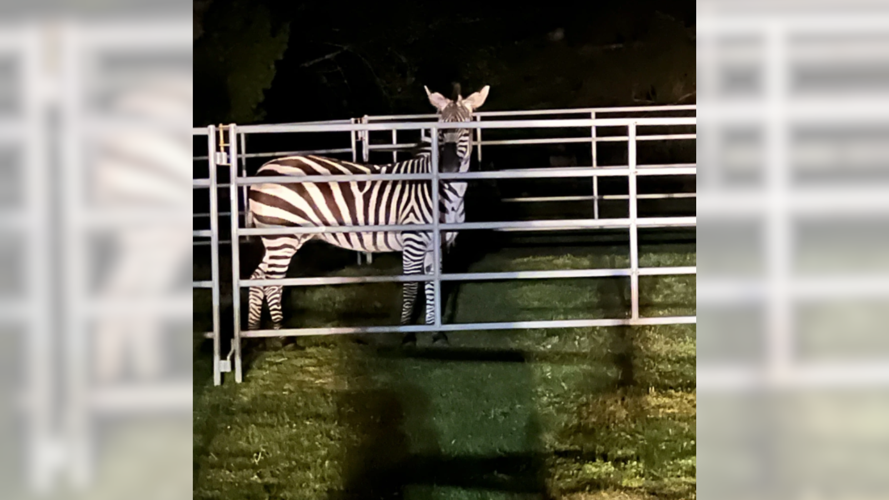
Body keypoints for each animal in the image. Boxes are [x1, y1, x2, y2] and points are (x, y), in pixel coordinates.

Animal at [245, 85, 490, 345]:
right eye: (440, 132)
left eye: (467, 130)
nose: (448, 167)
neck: (443, 192)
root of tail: (263, 168)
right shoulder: (413, 241)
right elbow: (411, 287)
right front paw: (407, 333)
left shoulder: (436, 244)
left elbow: (434, 285)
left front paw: (436, 332)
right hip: (282, 236)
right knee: (272, 282)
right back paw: (284, 337)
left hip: (279, 238)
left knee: (257, 277)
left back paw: (253, 332)